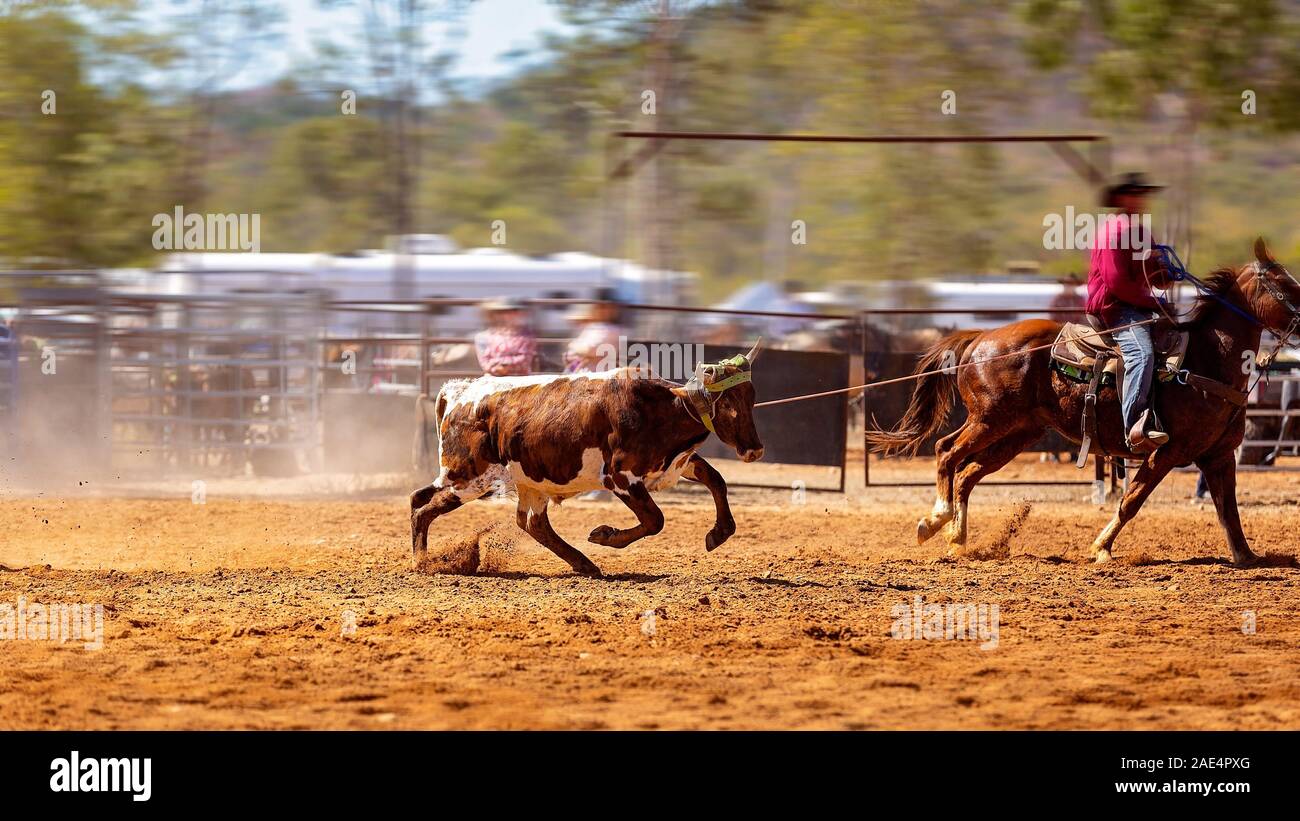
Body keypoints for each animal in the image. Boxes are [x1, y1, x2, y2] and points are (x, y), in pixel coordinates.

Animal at [409, 342, 765, 576]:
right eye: (728, 402)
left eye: (751, 397)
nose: (755, 449)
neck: (661, 409)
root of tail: (459, 391)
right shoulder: (620, 477)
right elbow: (655, 520)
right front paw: (604, 535)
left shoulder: (677, 463)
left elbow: (716, 480)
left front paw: (718, 533)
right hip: (470, 478)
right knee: (423, 507)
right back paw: (423, 563)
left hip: (522, 481)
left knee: (531, 523)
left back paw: (583, 563)